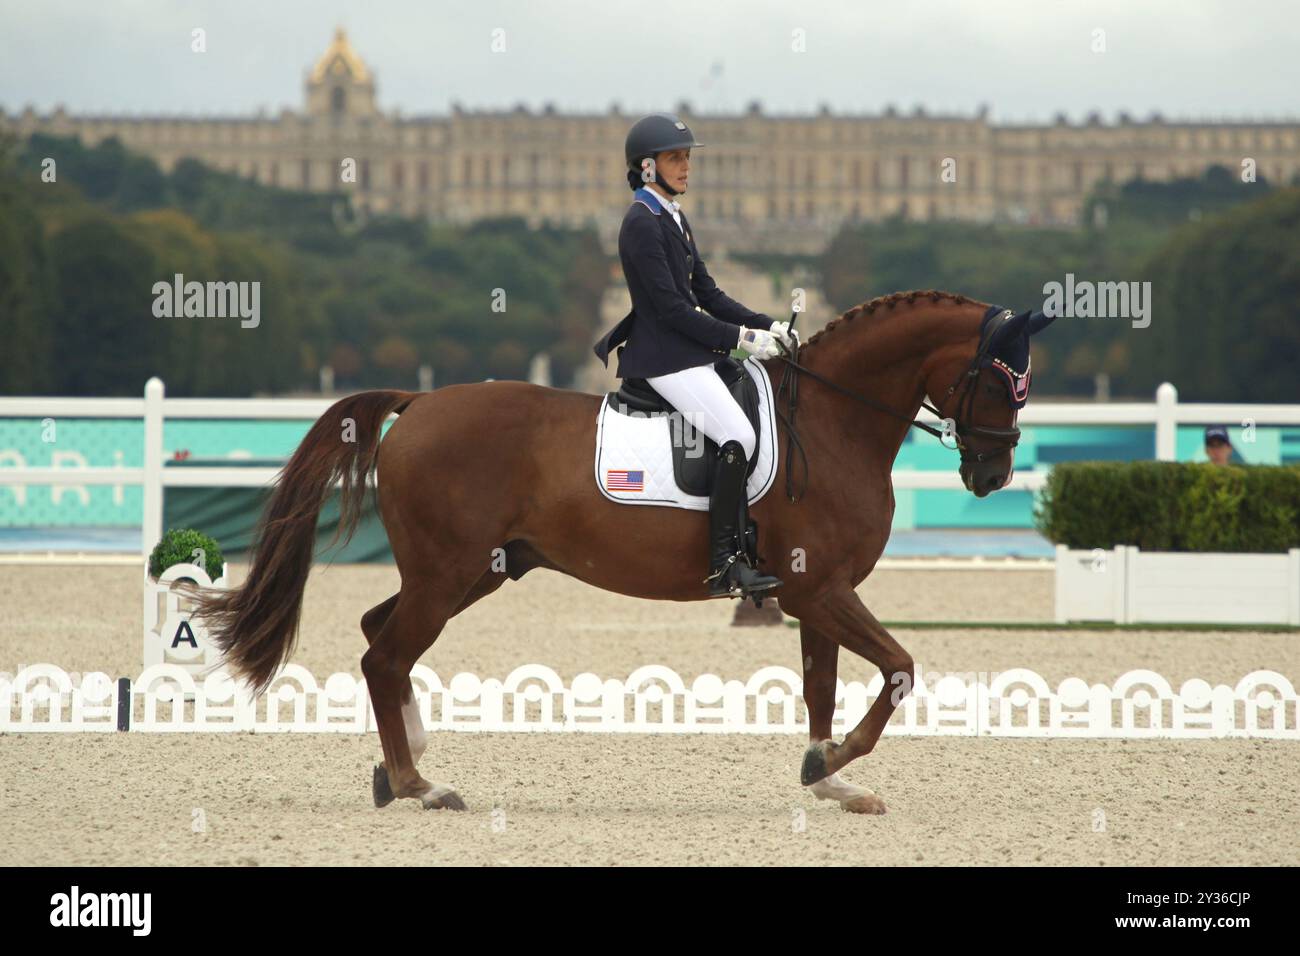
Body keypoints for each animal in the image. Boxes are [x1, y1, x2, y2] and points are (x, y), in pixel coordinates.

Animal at [186, 289, 1056, 815]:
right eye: (1003, 380)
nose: (991, 474)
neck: (834, 421)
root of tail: (421, 400)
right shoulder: (819, 591)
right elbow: (900, 667)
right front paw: (835, 762)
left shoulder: (818, 593)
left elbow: (822, 686)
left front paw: (829, 777)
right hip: (446, 574)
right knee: (384, 653)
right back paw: (418, 784)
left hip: (475, 571)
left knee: (378, 636)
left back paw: (399, 768)